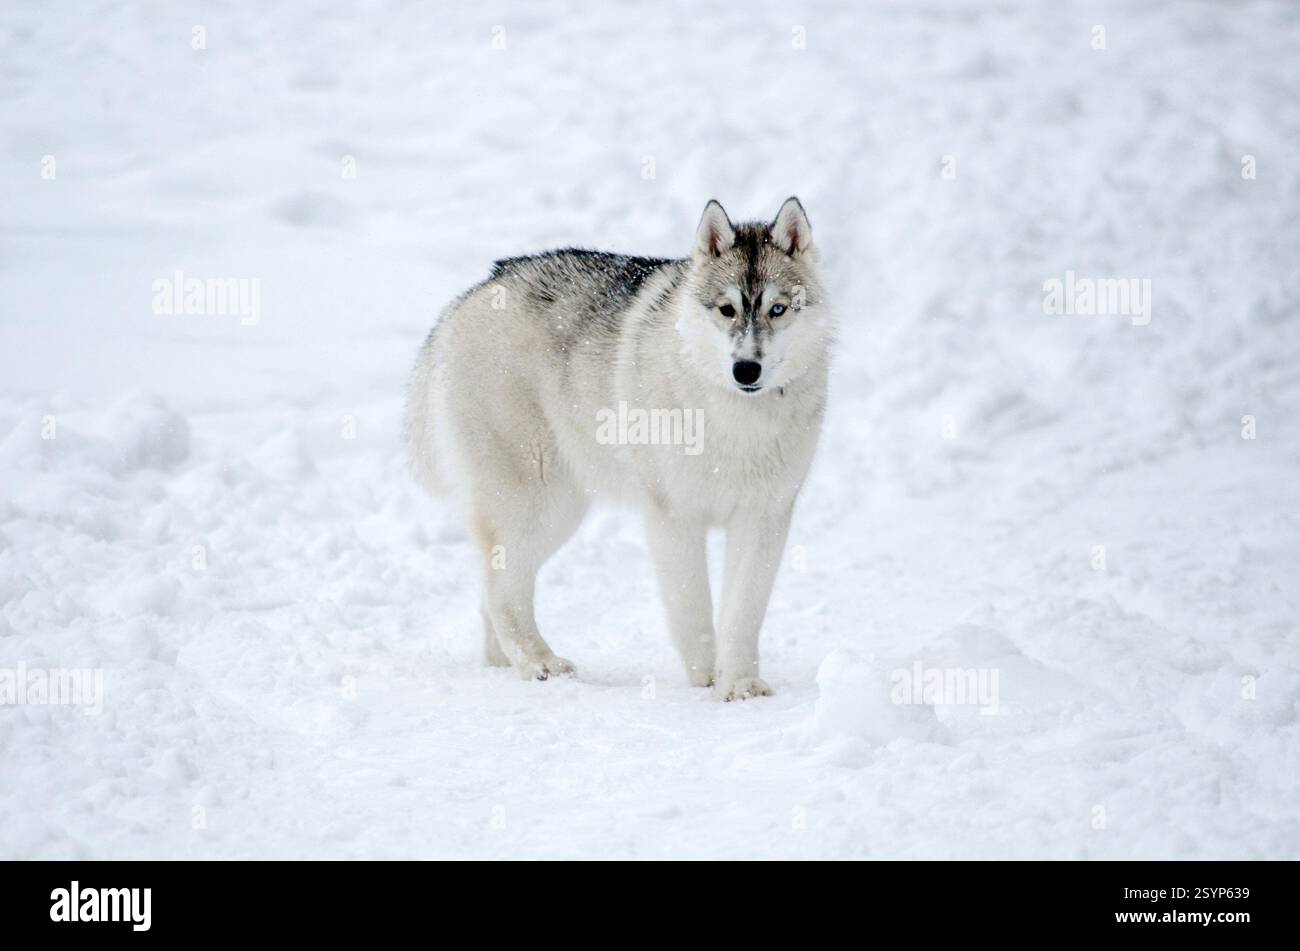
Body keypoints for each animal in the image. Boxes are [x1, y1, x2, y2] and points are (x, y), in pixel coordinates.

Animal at [405, 198, 832, 700]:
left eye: (778, 308)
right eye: (727, 309)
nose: (746, 369)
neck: (737, 420)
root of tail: (471, 295)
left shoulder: (764, 516)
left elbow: (742, 613)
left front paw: (740, 684)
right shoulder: (673, 517)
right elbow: (694, 611)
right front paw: (707, 681)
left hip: (558, 513)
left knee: (493, 589)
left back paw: (507, 663)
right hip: (534, 506)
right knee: (501, 593)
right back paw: (540, 664)